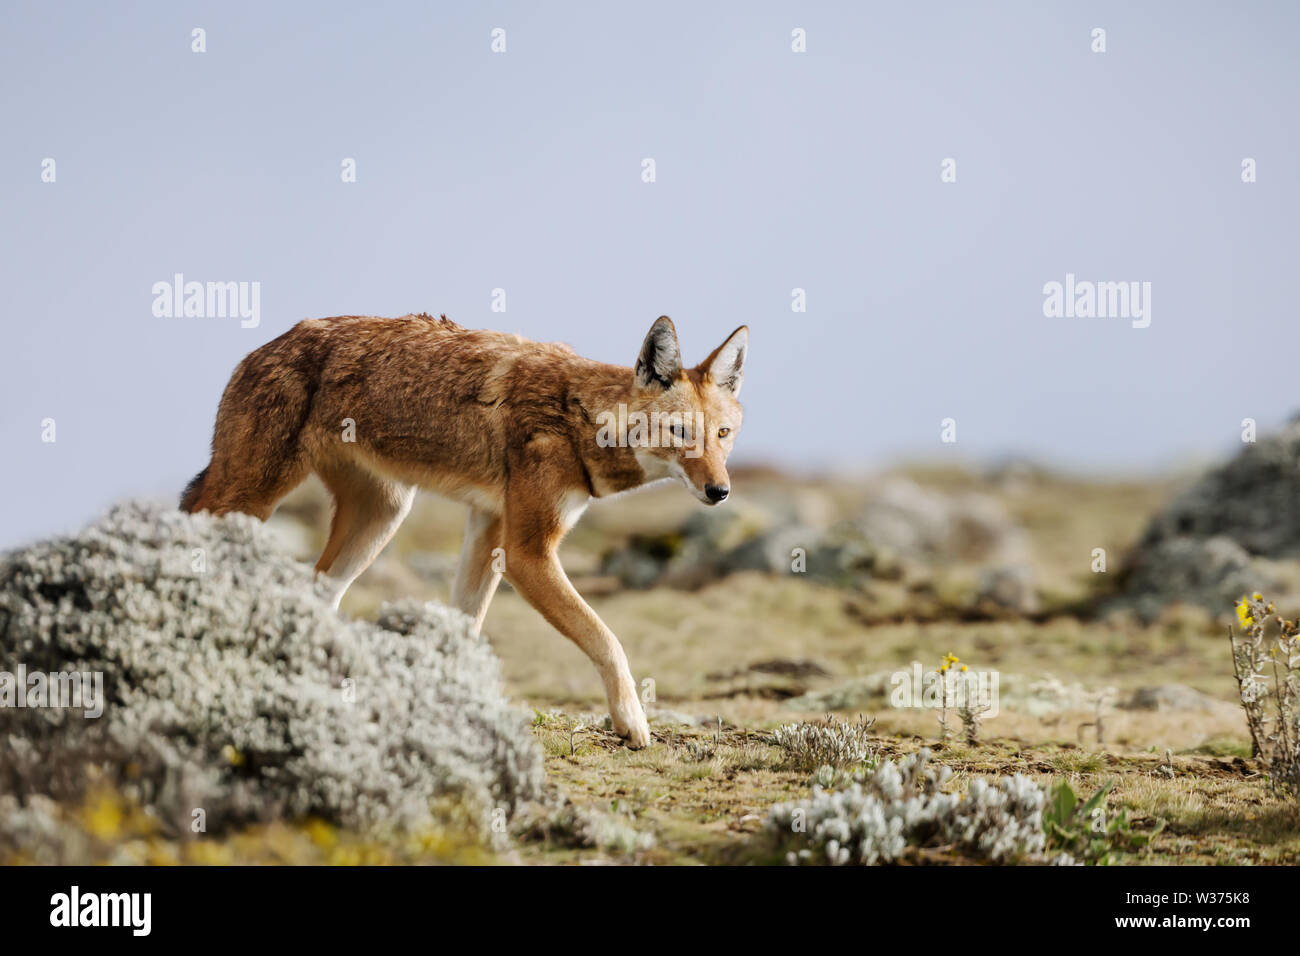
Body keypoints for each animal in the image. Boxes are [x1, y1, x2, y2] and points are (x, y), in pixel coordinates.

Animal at [181, 313, 748, 748]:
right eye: (680, 433)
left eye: (722, 435)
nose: (720, 491)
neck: (579, 418)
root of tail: (266, 346)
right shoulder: (527, 552)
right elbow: (607, 638)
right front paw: (632, 721)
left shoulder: (490, 530)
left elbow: (466, 631)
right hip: (250, 499)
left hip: (381, 518)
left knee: (315, 595)